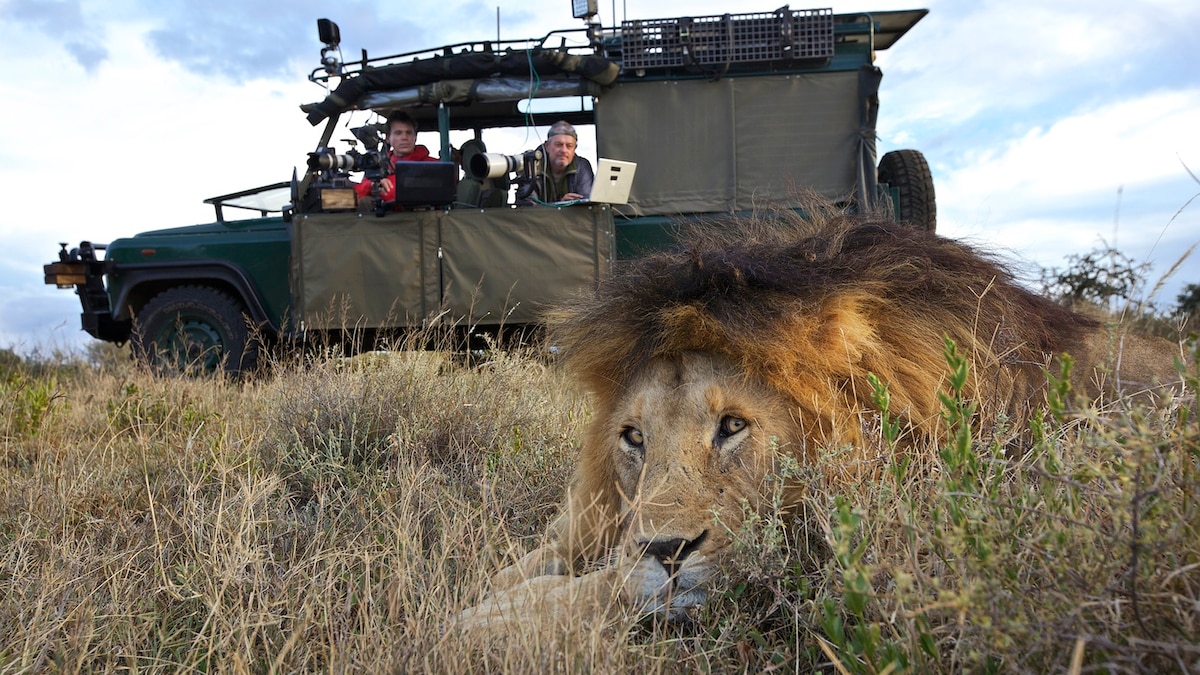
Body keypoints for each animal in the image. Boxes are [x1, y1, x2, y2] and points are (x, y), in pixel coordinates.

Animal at [456, 212, 1183, 630]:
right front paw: (502, 583)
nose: (666, 551)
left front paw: (484, 619)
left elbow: (604, 587)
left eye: (732, 426)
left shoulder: (801, 562)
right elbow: (549, 555)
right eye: (634, 437)